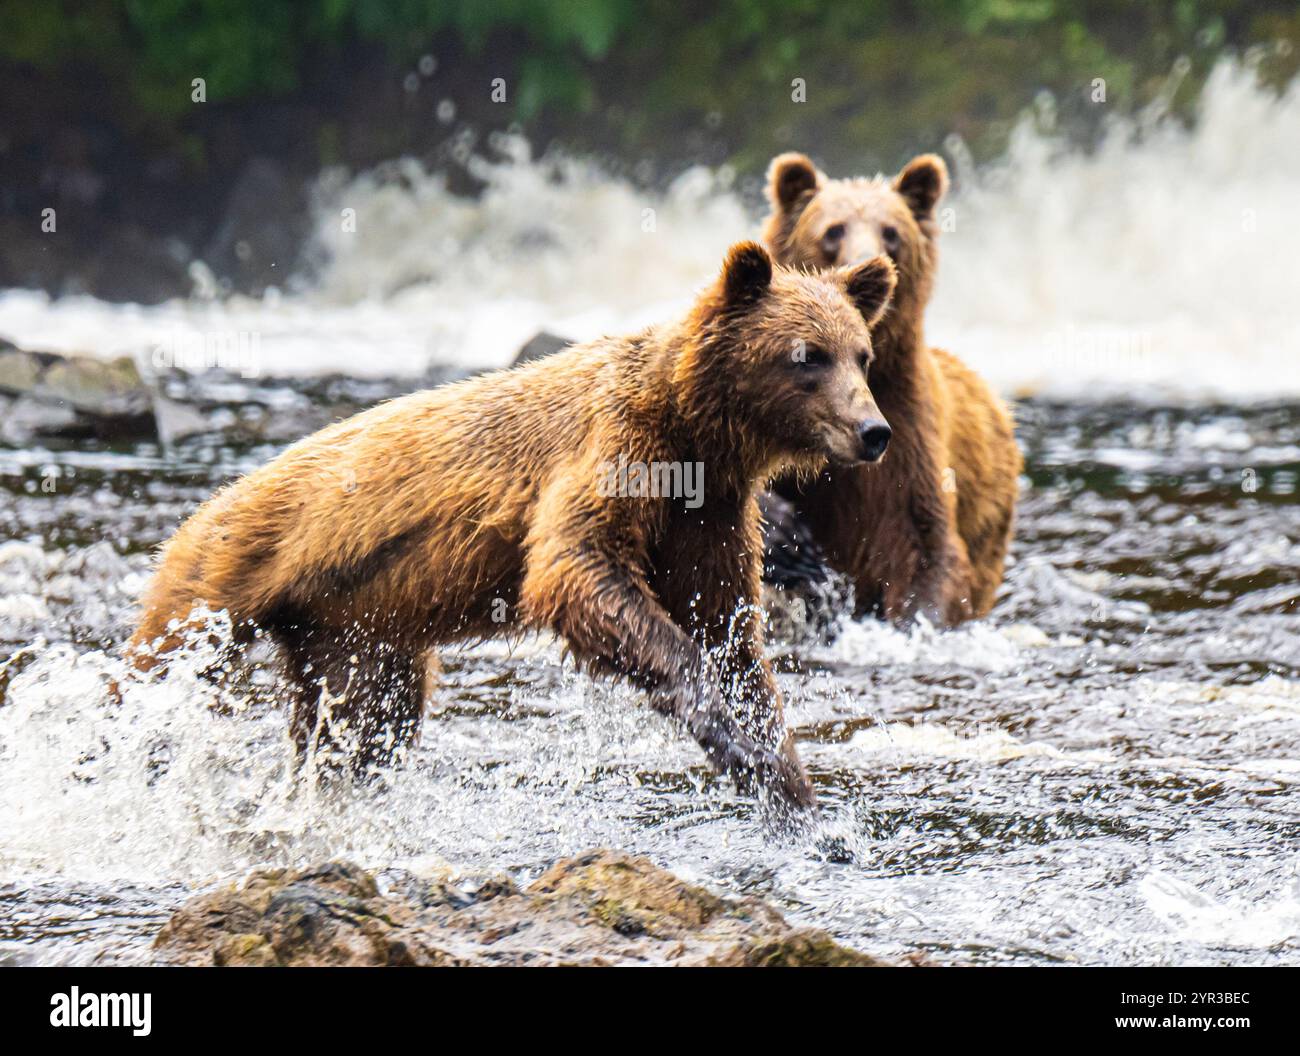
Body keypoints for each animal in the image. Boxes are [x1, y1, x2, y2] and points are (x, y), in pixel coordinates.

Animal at [130, 242, 899, 817]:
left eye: (861, 354)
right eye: (806, 355)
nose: (873, 431)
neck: (692, 432)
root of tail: (208, 504)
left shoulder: (708, 519)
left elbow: (730, 637)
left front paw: (793, 794)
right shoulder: (614, 452)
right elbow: (578, 570)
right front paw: (716, 721)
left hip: (354, 632)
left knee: (367, 723)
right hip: (226, 576)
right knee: (160, 671)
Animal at [760, 151, 1021, 626]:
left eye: (892, 232)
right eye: (834, 229)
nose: (869, 260)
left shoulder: (905, 436)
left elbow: (926, 549)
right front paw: (787, 534)